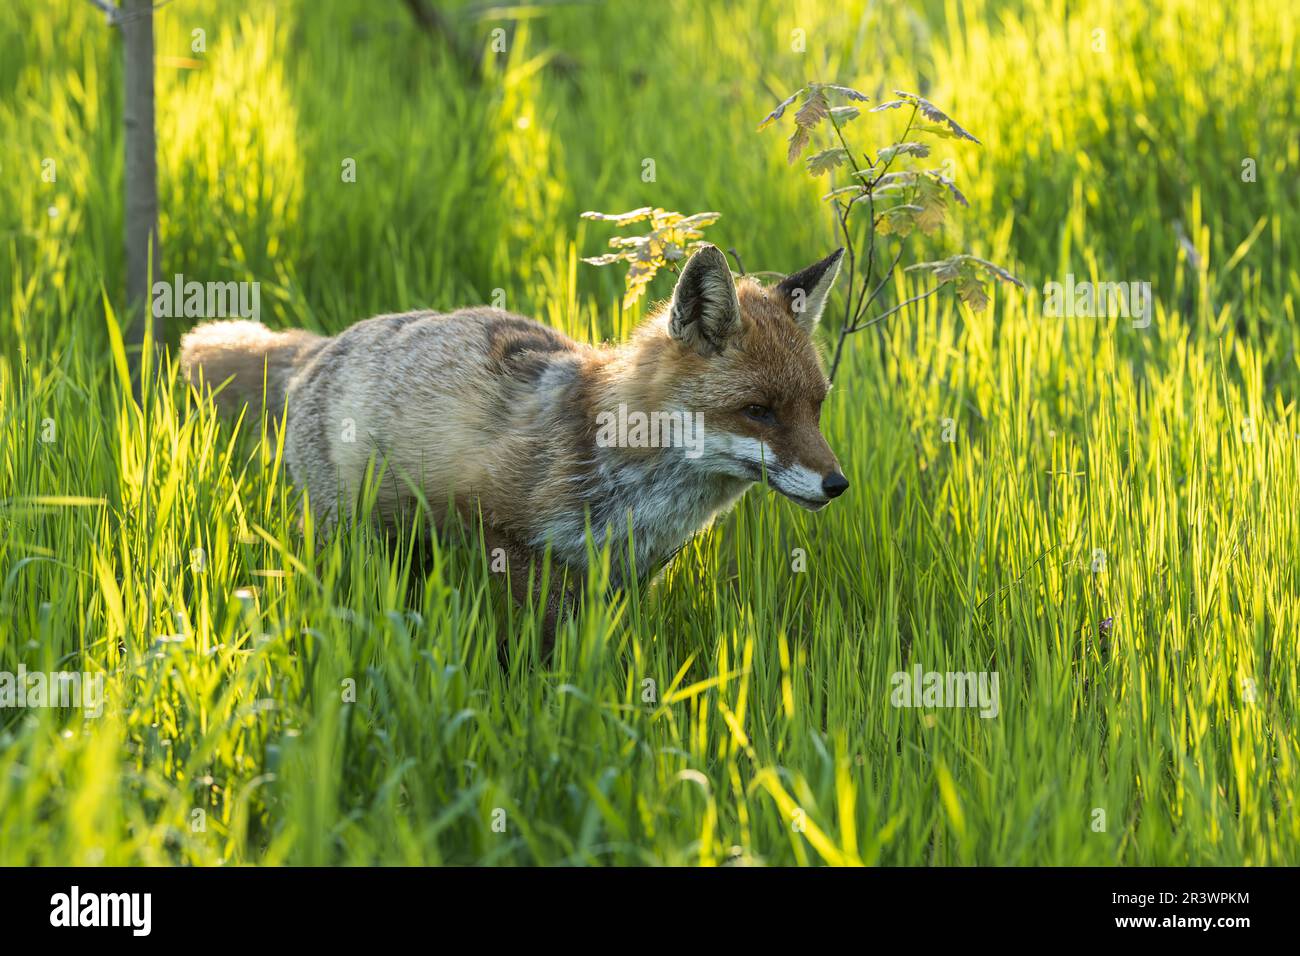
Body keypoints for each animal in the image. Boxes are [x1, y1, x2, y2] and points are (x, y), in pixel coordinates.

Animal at [180, 244, 849, 646]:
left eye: (816, 407)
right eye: (758, 411)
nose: (837, 484)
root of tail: (325, 344)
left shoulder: (629, 577)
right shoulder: (502, 531)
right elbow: (542, 647)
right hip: (349, 534)